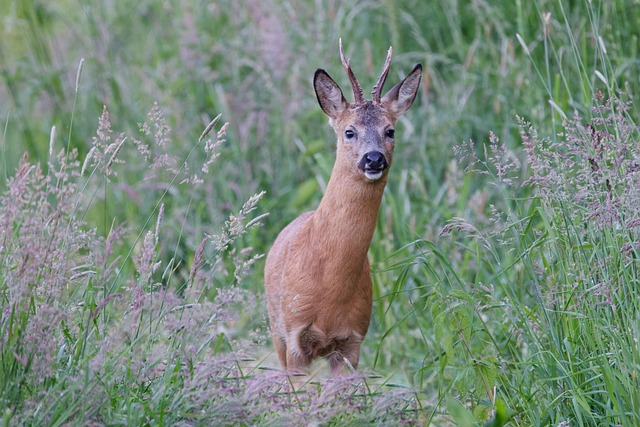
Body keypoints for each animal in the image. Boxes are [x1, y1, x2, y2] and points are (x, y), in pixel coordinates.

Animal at [264, 40, 422, 376]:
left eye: (390, 130)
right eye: (349, 132)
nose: (374, 158)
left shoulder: (353, 340)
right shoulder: (295, 337)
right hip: (275, 329)